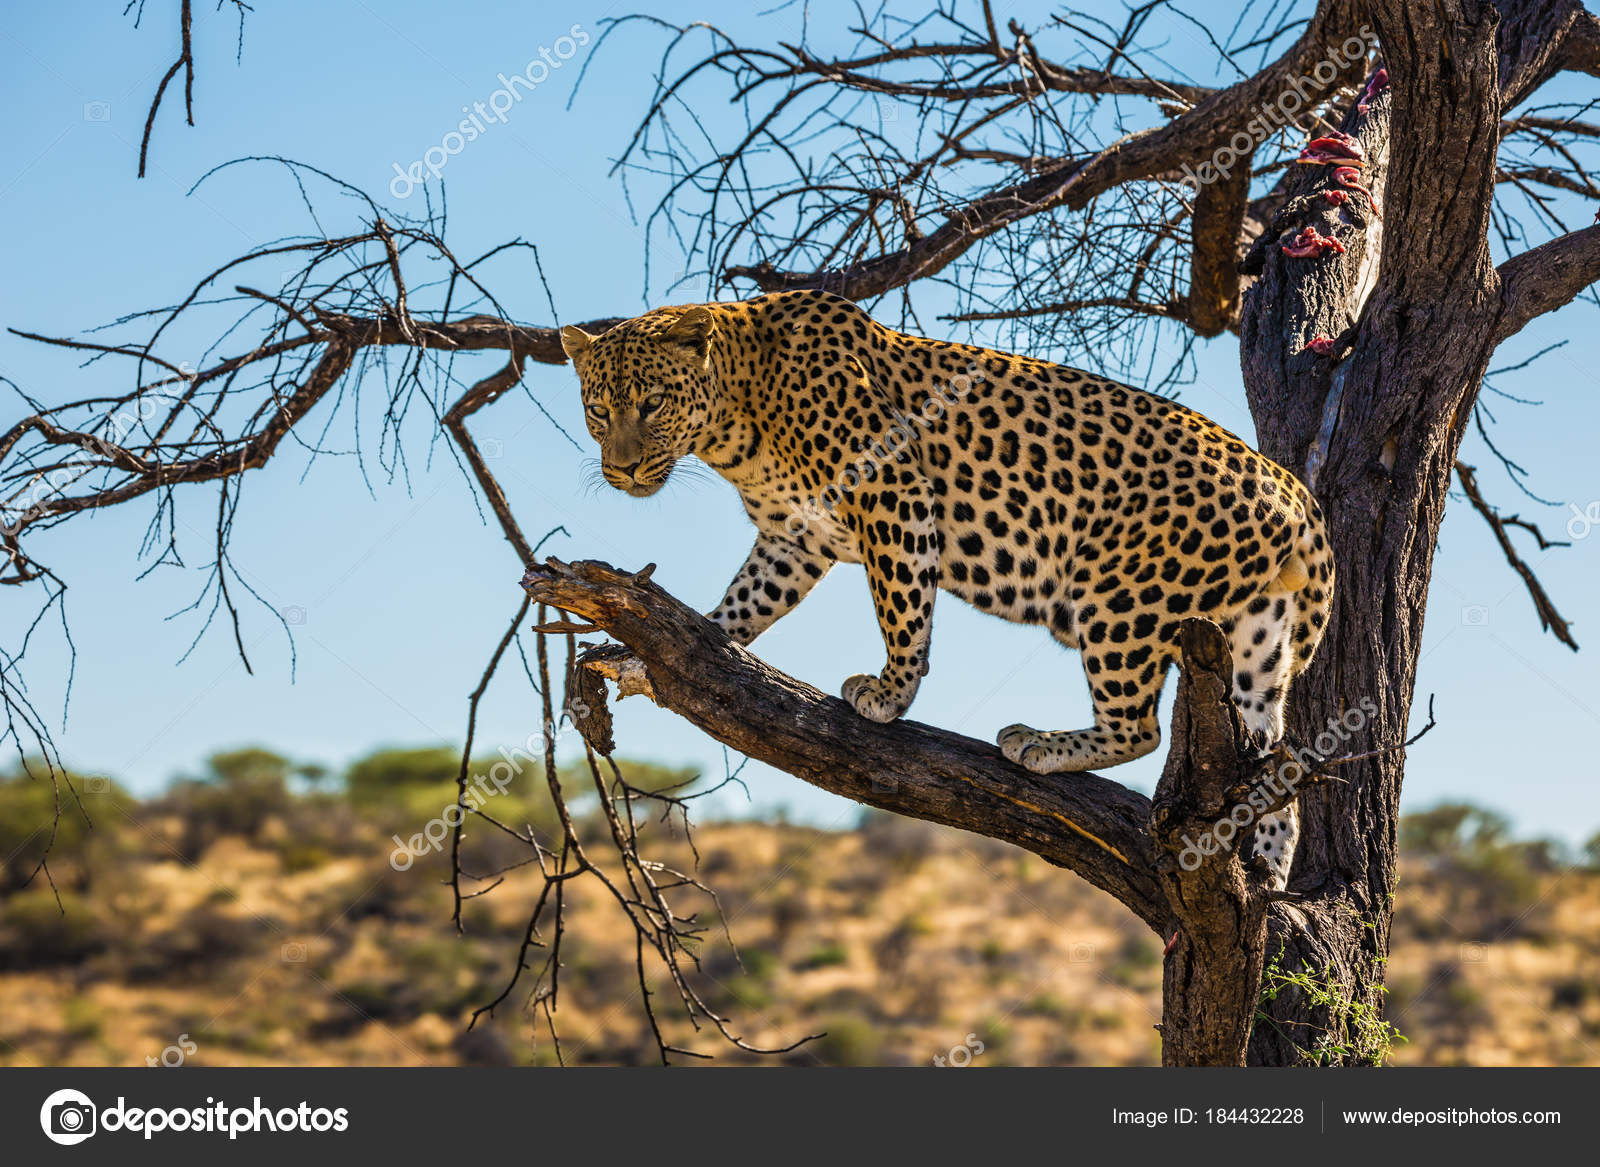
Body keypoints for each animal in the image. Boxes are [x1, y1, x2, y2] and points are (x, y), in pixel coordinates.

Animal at [560, 289, 1334, 888]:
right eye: (597, 410)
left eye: (652, 403)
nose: (621, 469)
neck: (736, 421)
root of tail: (1296, 491)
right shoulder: (794, 537)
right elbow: (744, 603)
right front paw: (660, 650)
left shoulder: (892, 493)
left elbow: (901, 606)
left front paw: (889, 694)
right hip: (1256, 641)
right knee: (1273, 762)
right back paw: (1270, 867)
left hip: (1119, 593)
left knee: (1140, 724)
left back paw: (1041, 743)